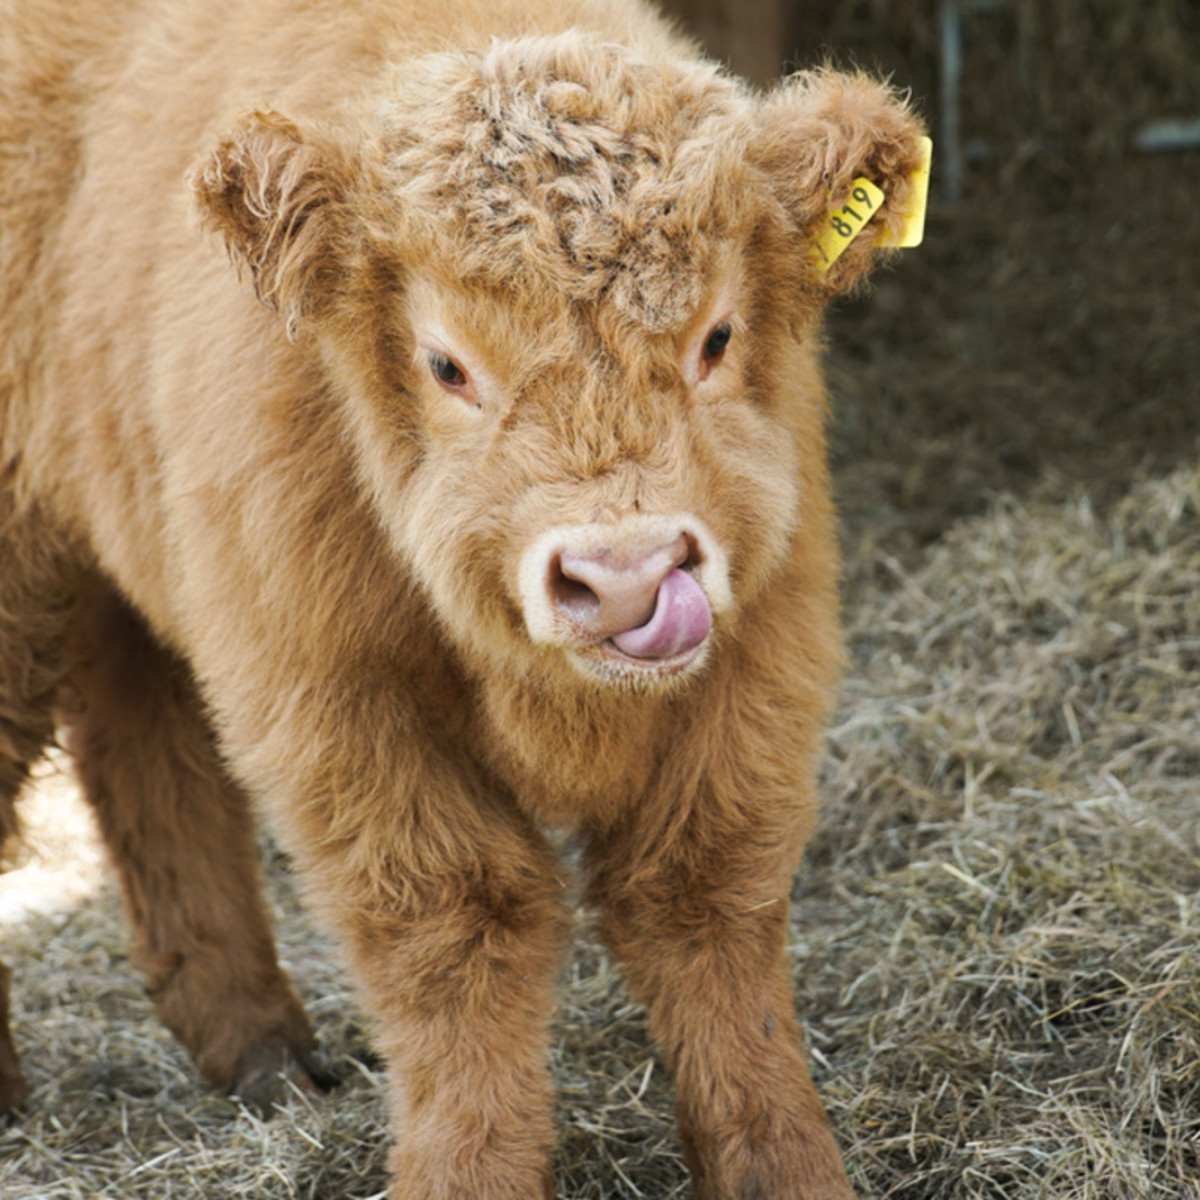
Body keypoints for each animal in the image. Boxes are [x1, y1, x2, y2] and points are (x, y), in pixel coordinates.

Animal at [0, 0, 927, 1196]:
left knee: (144, 747)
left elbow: (703, 899)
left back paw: (259, 1051)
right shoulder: (332, 705)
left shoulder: (764, 659)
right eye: (447, 365)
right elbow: (456, 928)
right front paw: (468, 1168)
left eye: (716, 337)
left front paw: (782, 1163)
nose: (626, 576)